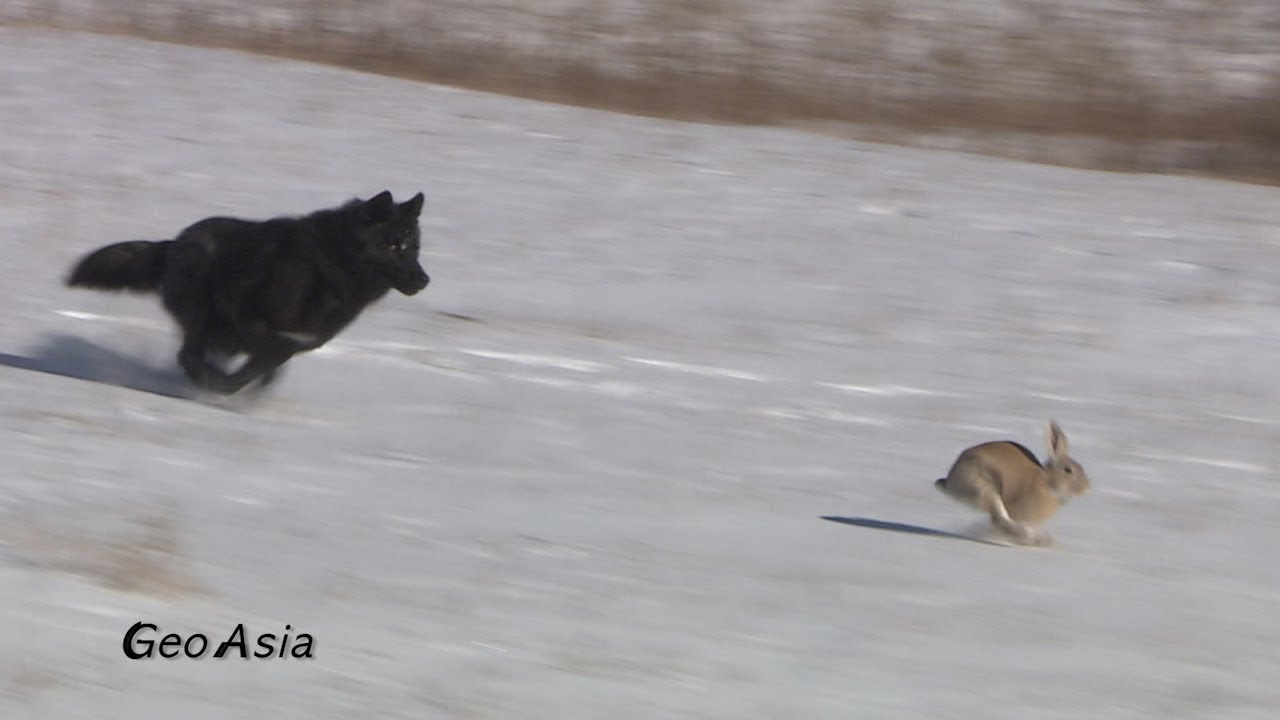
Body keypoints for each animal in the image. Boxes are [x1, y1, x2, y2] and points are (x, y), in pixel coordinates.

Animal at [66, 190, 430, 394]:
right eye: (393, 245)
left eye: (414, 247)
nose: (424, 280)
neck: (328, 268)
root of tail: (173, 243)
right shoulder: (250, 318)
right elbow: (258, 361)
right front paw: (221, 387)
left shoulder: (295, 343)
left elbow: (266, 365)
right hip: (202, 313)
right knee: (188, 354)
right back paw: (204, 377)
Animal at [934, 421, 1090, 546]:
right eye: (1068, 470)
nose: (1087, 487)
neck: (1048, 483)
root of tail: (949, 481)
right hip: (985, 487)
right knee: (999, 520)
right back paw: (1035, 539)